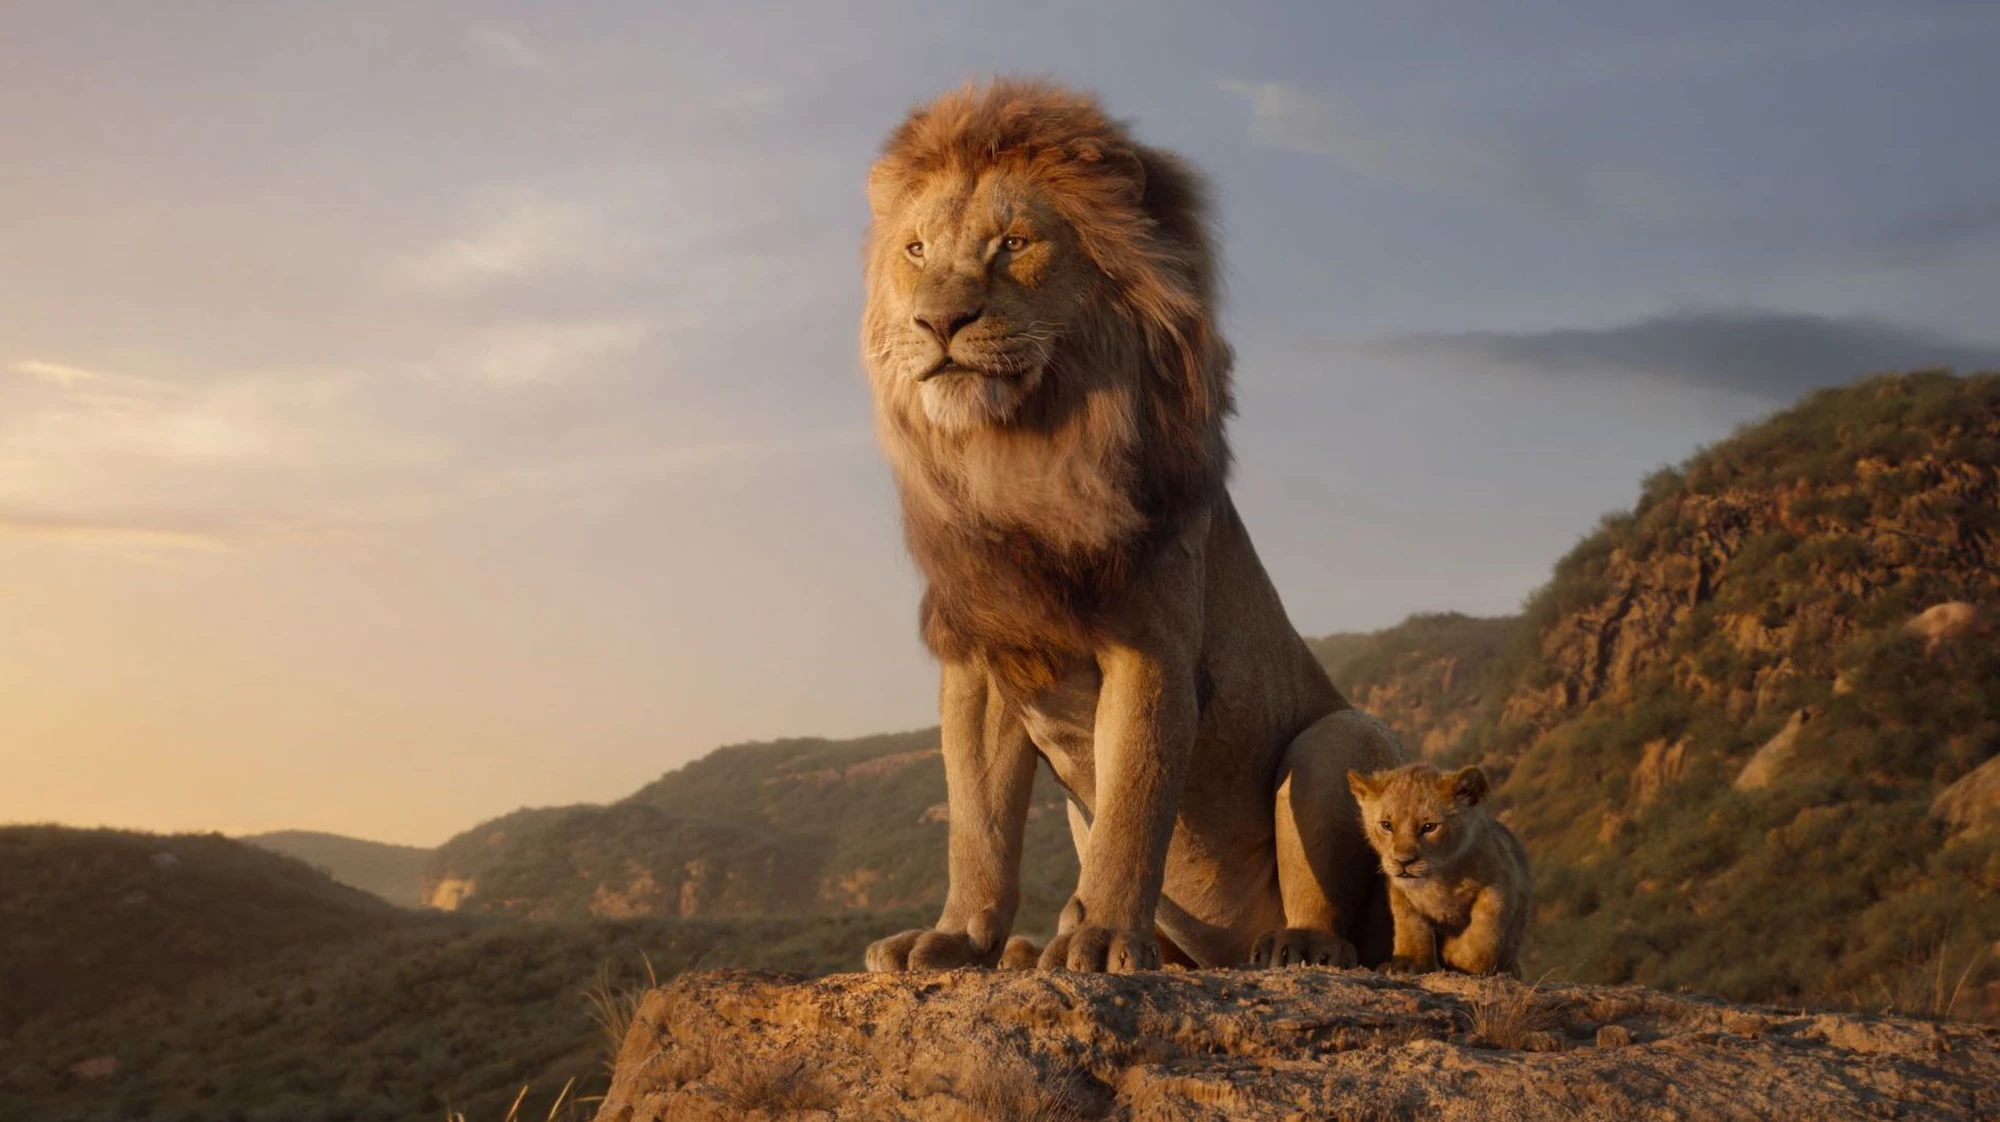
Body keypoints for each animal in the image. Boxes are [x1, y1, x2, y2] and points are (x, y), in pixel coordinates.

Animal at [858, 79, 1405, 974]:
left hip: (1339, 739)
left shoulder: (1151, 648)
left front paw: (1105, 937)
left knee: (1338, 917)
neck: (1020, 457)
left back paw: (1294, 945)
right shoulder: (982, 659)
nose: (939, 323)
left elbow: (1133, 807)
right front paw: (957, 938)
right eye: (915, 251)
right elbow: (977, 826)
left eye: (1013, 244)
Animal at [1345, 763, 1531, 977]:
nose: (1403, 862)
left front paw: (1456, 954)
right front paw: (1408, 964)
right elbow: (1411, 928)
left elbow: (1484, 934)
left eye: (1429, 827)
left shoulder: (1500, 884)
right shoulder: (1400, 893)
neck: (1439, 878)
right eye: (1386, 825)